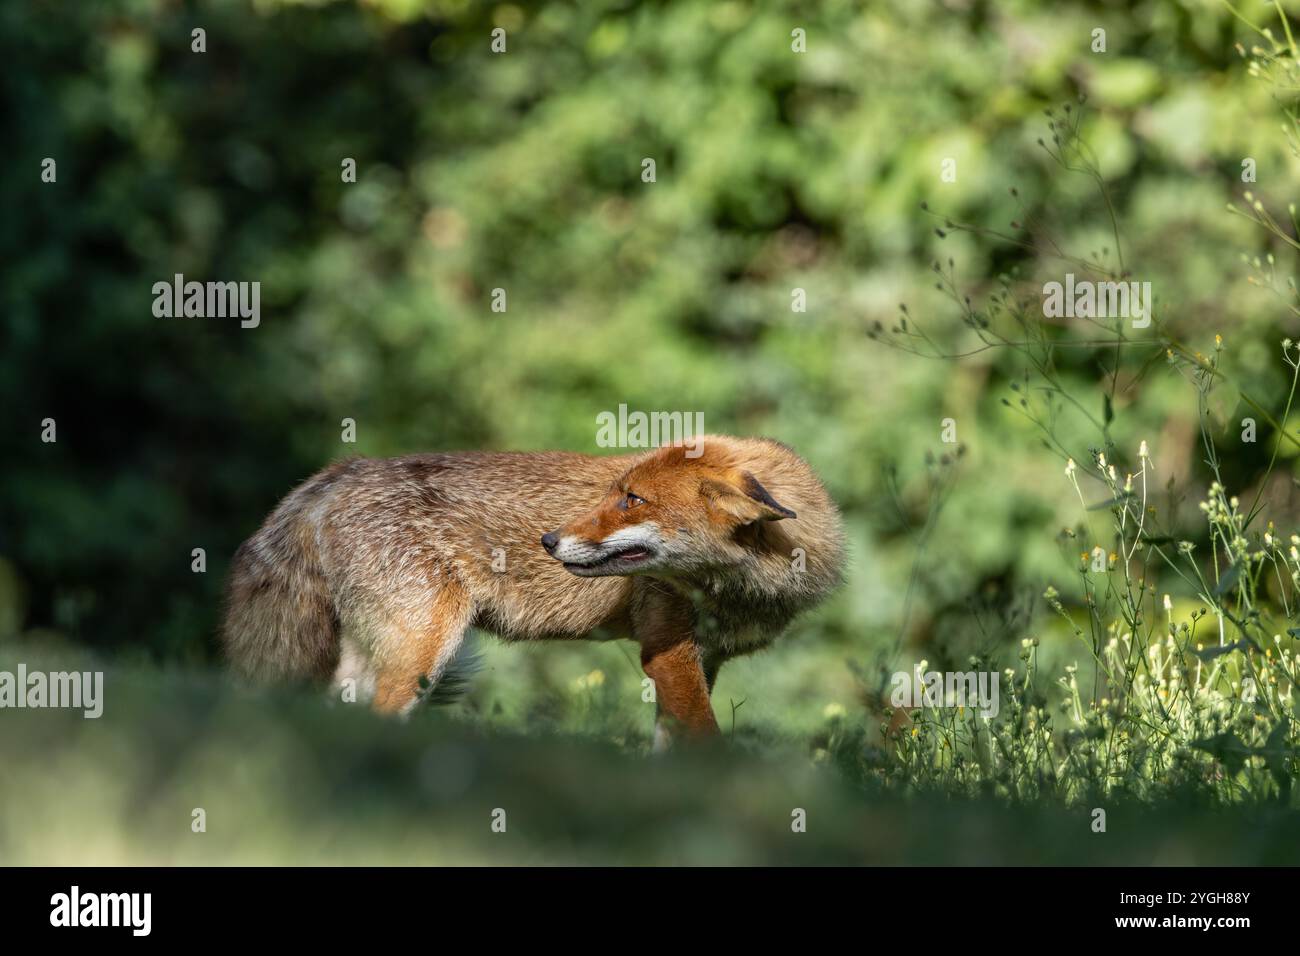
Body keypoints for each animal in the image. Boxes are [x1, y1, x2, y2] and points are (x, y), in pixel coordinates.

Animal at [221, 435, 845, 744]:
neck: (735, 586)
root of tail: (342, 470)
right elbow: (708, 741)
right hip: (422, 650)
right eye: (617, 493)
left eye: (632, 500)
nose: (549, 539)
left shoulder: (701, 661)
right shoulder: (667, 652)